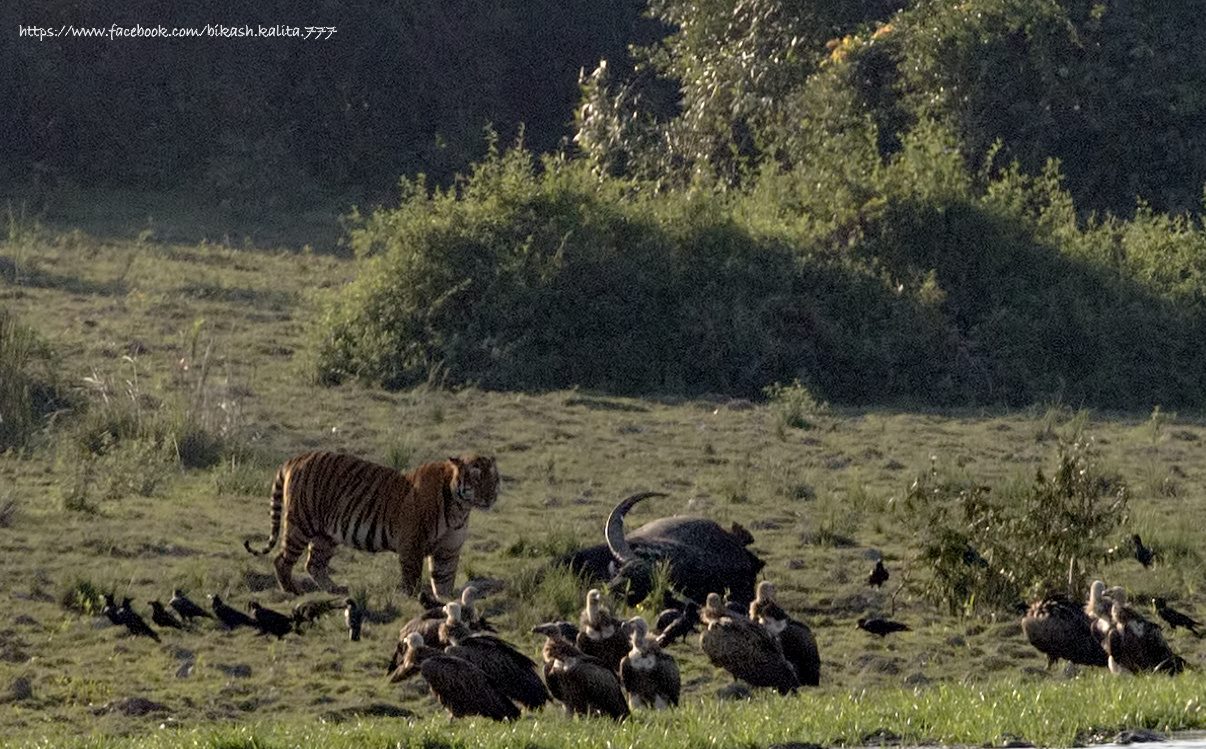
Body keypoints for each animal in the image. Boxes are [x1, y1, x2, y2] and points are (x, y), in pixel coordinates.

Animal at [243, 451, 499, 598]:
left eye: (493, 478)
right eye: (477, 478)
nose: (490, 496)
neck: (460, 508)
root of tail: (296, 458)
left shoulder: (447, 550)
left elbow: (444, 580)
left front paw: (446, 604)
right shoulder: (412, 544)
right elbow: (412, 577)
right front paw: (413, 599)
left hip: (326, 535)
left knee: (313, 564)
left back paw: (335, 589)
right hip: (301, 524)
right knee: (282, 560)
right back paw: (292, 590)